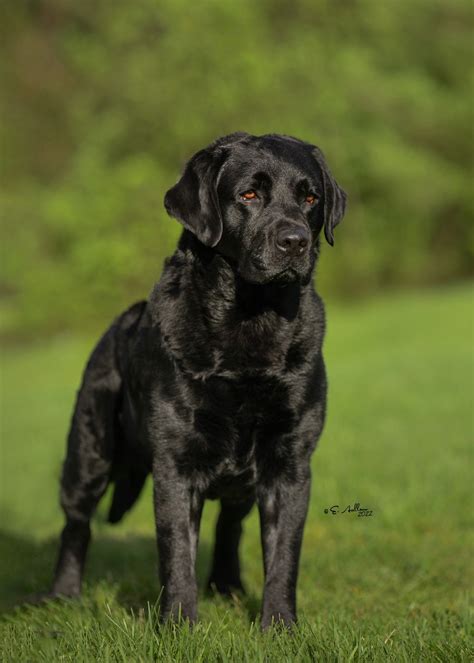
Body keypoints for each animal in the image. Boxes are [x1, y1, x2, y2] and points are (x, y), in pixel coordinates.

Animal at [51, 132, 346, 632]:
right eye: (249, 195)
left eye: (310, 199)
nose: (295, 241)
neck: (250, 319)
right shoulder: (177, 463)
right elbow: (176, 556)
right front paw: (178, 628)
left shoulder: (289, 464)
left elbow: (283, 556)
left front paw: (279, 627)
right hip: (90, 451)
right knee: (76, 524)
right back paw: (62, 597)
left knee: (229, 526)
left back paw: (227, 587)